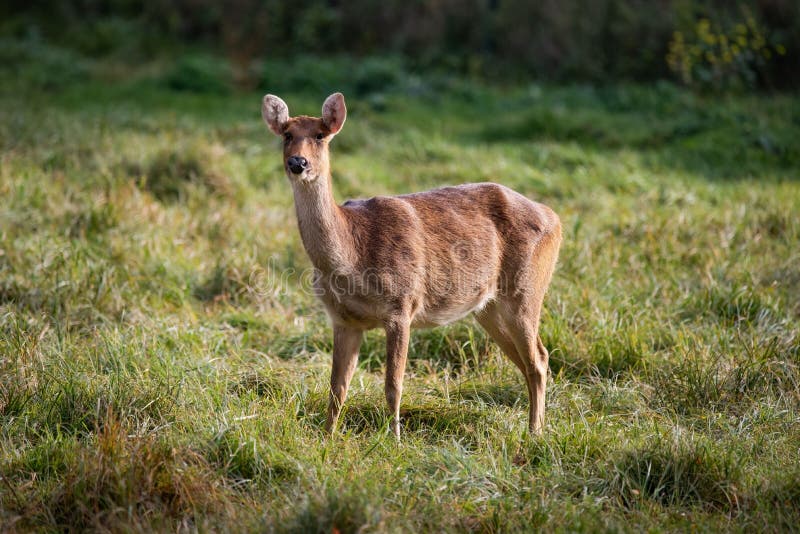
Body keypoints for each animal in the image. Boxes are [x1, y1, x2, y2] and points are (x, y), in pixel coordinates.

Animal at [261, 92, 561, 440]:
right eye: (287, 134)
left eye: (321, 135)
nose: (298, 163)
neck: (353, 255)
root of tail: (554, 217)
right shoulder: (343, 319)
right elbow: (337, 386)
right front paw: (327, 436)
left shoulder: (401, 305)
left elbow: (393, 385)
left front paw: (394, 439)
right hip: (487, 307)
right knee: (528, 359)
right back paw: (534, 426)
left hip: (526, 289)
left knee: (538, 358)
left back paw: (535, 432)